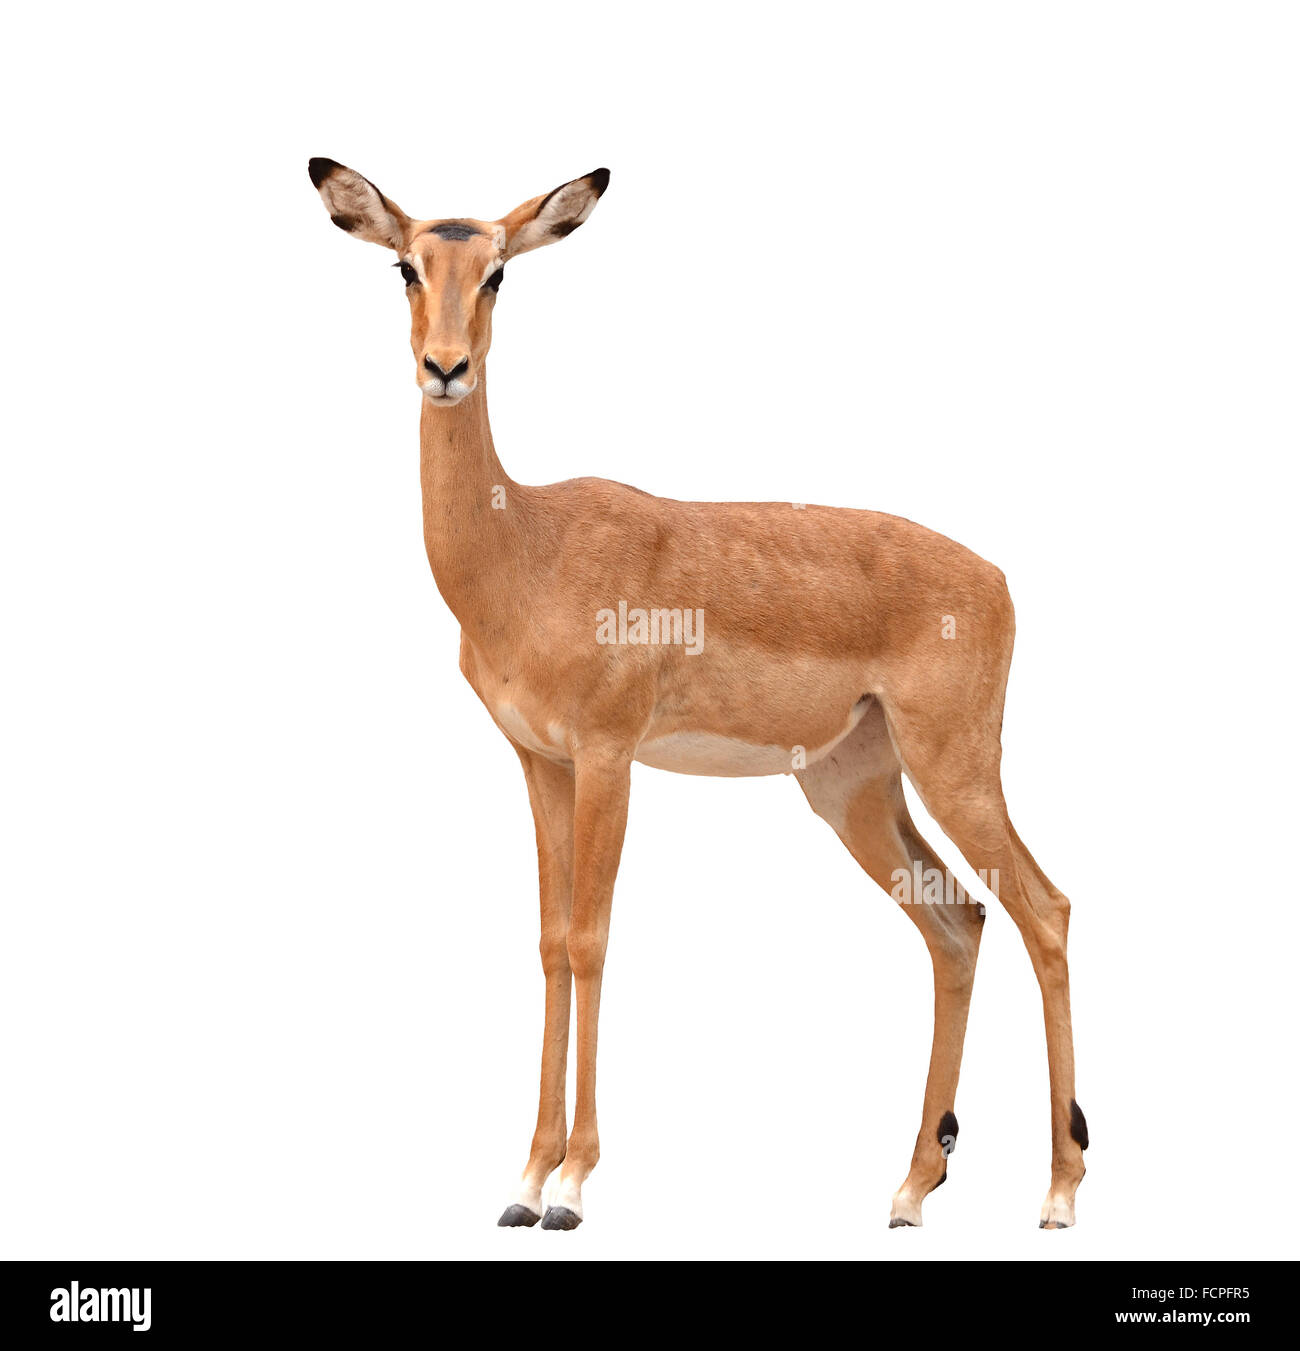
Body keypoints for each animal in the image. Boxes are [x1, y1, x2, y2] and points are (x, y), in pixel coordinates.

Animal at [308, 158, 1088, 1231]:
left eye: (499, 272)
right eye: (406, 266)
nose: (446, 367)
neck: (525, 549)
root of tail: (998, 577)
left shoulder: (607, 755)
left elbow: (591, 938)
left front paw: (573, 1185)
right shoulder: (541, 762)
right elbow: (548, 940)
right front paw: (523, 1180)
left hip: (955, 767)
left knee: (1044, 909)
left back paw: (1057, 1193)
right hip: (851, 787)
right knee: (957, 920)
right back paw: (909, 1189)